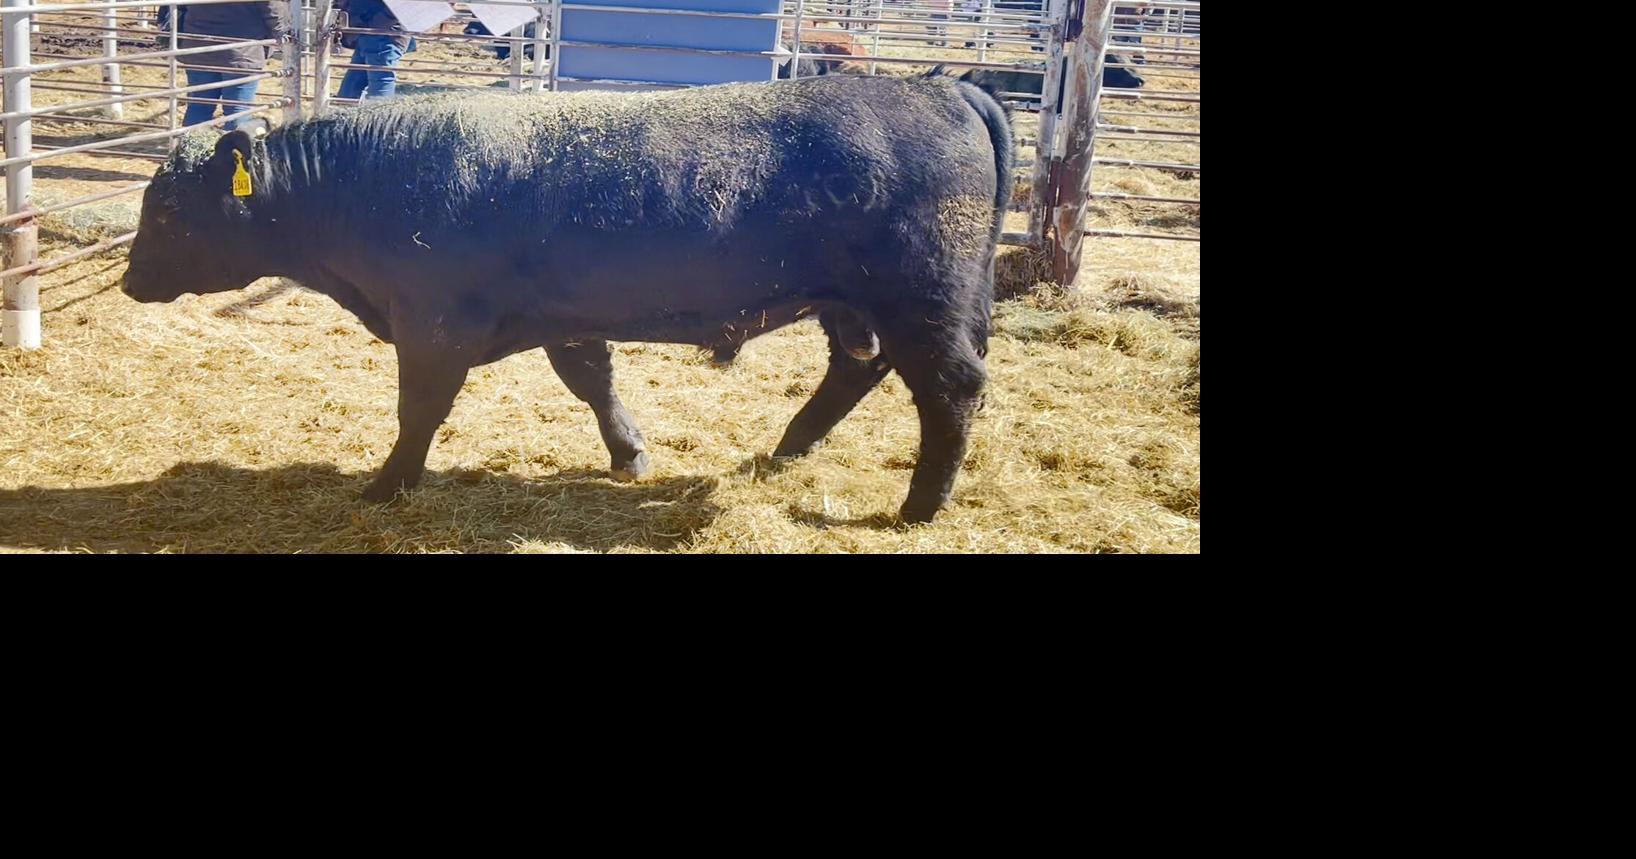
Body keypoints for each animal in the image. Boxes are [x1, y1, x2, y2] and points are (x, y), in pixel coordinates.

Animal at [121, 72, 1013, 525]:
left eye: (165, 210)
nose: (130, 280)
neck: (368, 184)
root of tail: (945, 88)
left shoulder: (432, 326)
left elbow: (419, 410)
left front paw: (386, 484)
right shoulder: (564, 317)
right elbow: (593, 382)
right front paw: (630, 454)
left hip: (921, 297)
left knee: (951, 389)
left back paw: (917, 508)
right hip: (858, 304)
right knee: (857, 370)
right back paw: (784, 450)